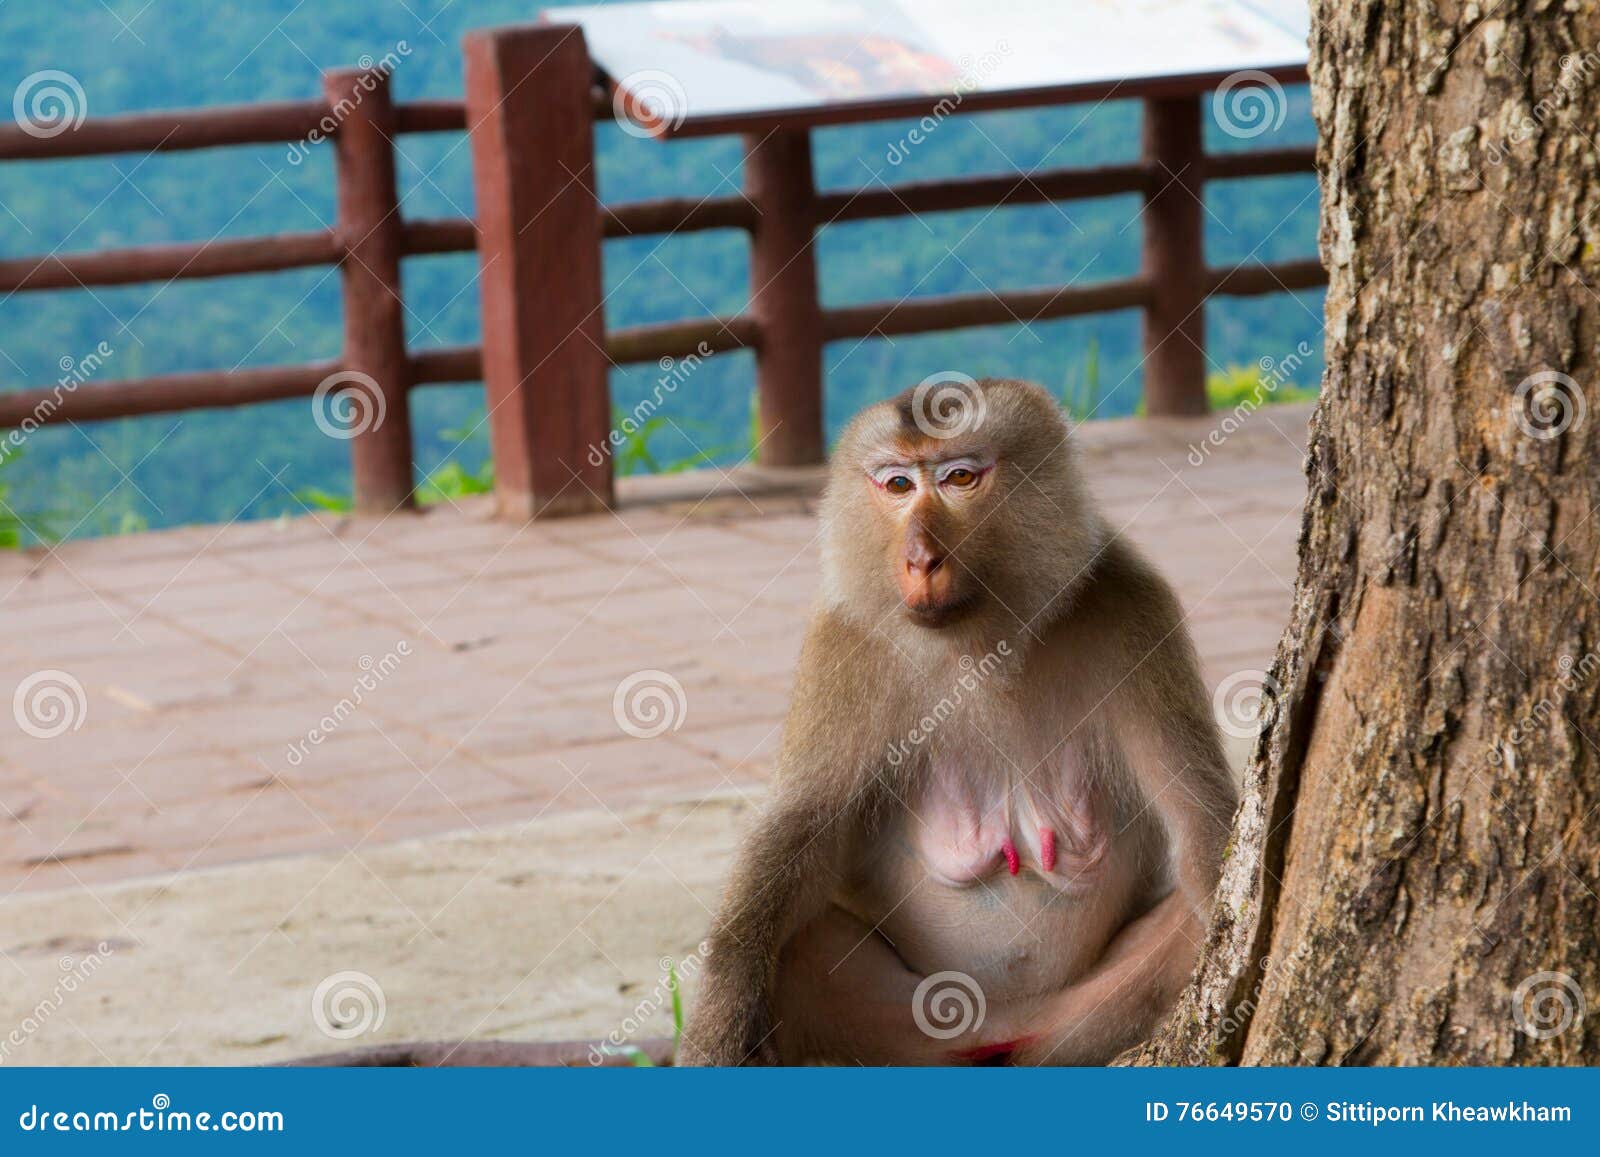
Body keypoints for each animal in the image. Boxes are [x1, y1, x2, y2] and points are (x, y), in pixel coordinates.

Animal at [676, 377, 1237, 1066]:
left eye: (959, 477)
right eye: (897, 485)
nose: (920, 558)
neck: (982, 642)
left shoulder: (1131, 608)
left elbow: (1201, 822)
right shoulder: (845, 641)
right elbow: (800, 831)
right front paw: (723, 1004)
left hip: (1068, 1030)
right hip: (911, 1037)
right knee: (799, 947)